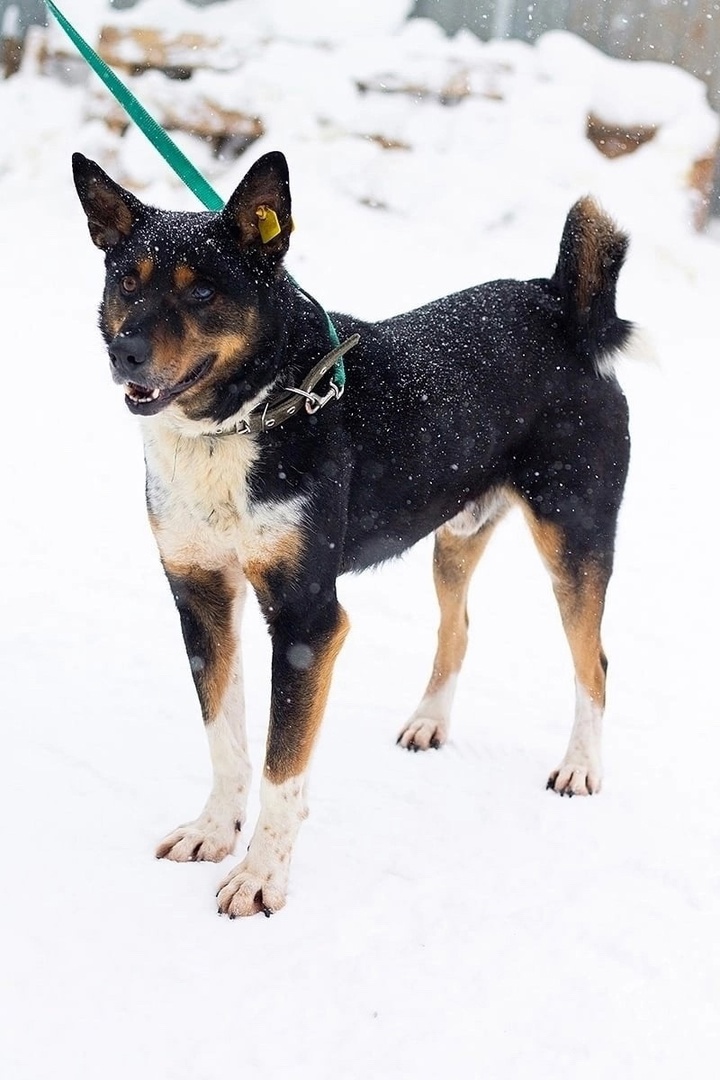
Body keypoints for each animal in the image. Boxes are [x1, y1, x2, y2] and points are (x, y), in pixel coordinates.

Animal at [71, 147, 630, 915]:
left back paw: (580, 767)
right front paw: (214, 831)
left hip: (572, 536)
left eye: (203, 293)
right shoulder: (200, 595)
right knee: (458, 627)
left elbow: (282, 768)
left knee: (592, 660)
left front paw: (260, 879)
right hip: (454, 535)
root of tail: (559, 306)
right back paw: (430, 721)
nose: (124, 352)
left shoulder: (307, 617)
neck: (243, 420)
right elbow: (225, 740)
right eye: (128, 281)